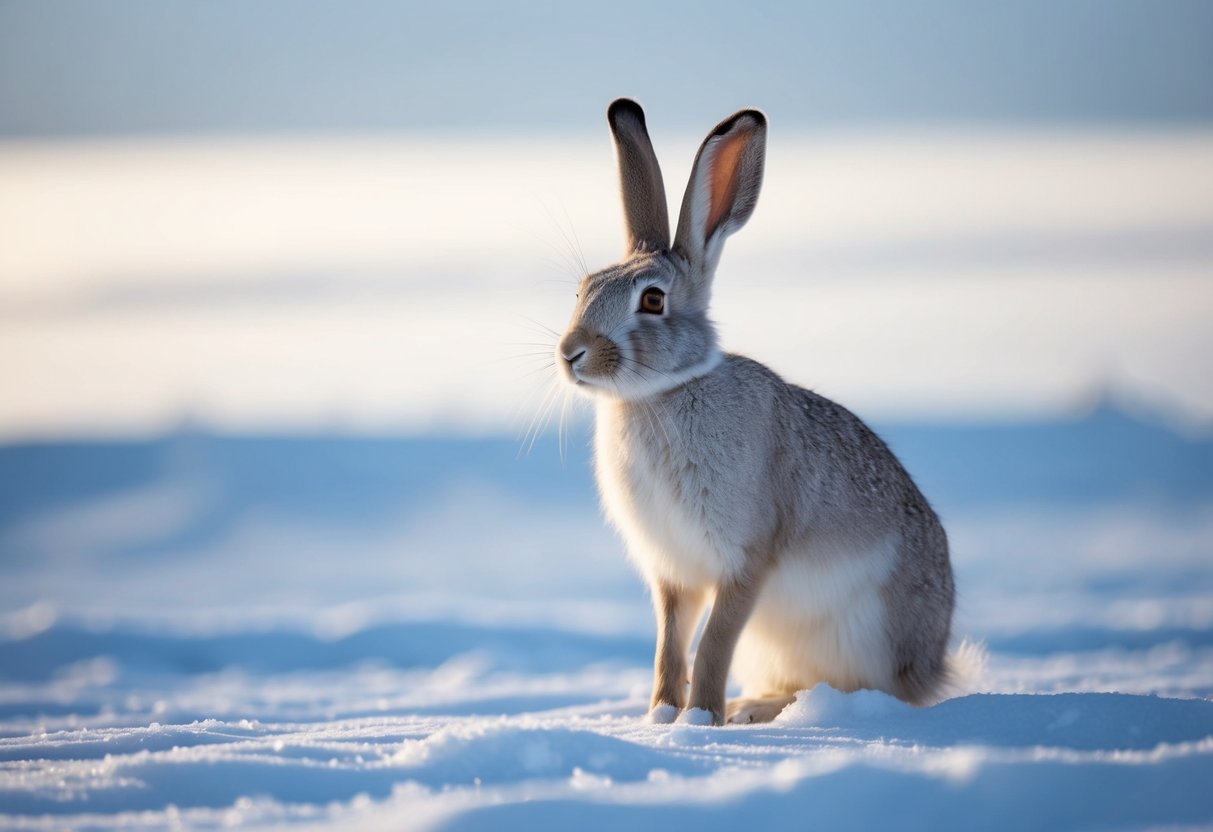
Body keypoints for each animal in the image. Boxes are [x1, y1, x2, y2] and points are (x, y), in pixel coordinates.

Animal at [556, 98, 955, 726]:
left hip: (864, 633)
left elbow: (714, 641)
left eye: (653, 299)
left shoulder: (745, 561)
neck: (660, 394)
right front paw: (661, 716)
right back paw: (751, 706)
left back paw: (758, 711)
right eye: (582, 288)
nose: (570, 352)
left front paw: (699, 719)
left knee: (861, 691)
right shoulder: (673, 574)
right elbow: (670, 643)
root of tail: (933, 664)